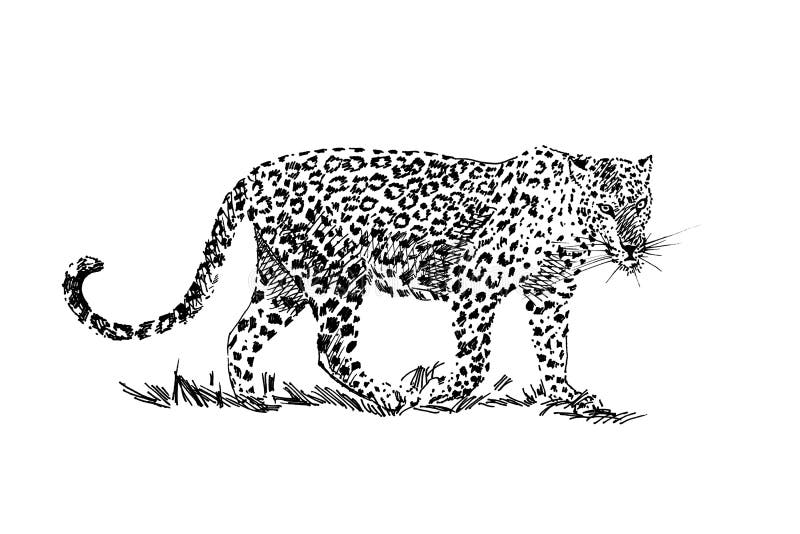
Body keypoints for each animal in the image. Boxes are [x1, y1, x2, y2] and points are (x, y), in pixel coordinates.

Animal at [63, 146, 654, 414]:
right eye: (608, 208)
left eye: (642, 209)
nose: (631, 248)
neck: (571, 237)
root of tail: (253, 174)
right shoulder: (473, 281)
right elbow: (476, 356)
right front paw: (438, 390)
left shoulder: (551, 295)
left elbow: (554, 351)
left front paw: (571, 399)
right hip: (337, 275)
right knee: (331, 350)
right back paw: (389, 395)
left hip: (283, 281)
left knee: (241, 335)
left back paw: (258, 402)